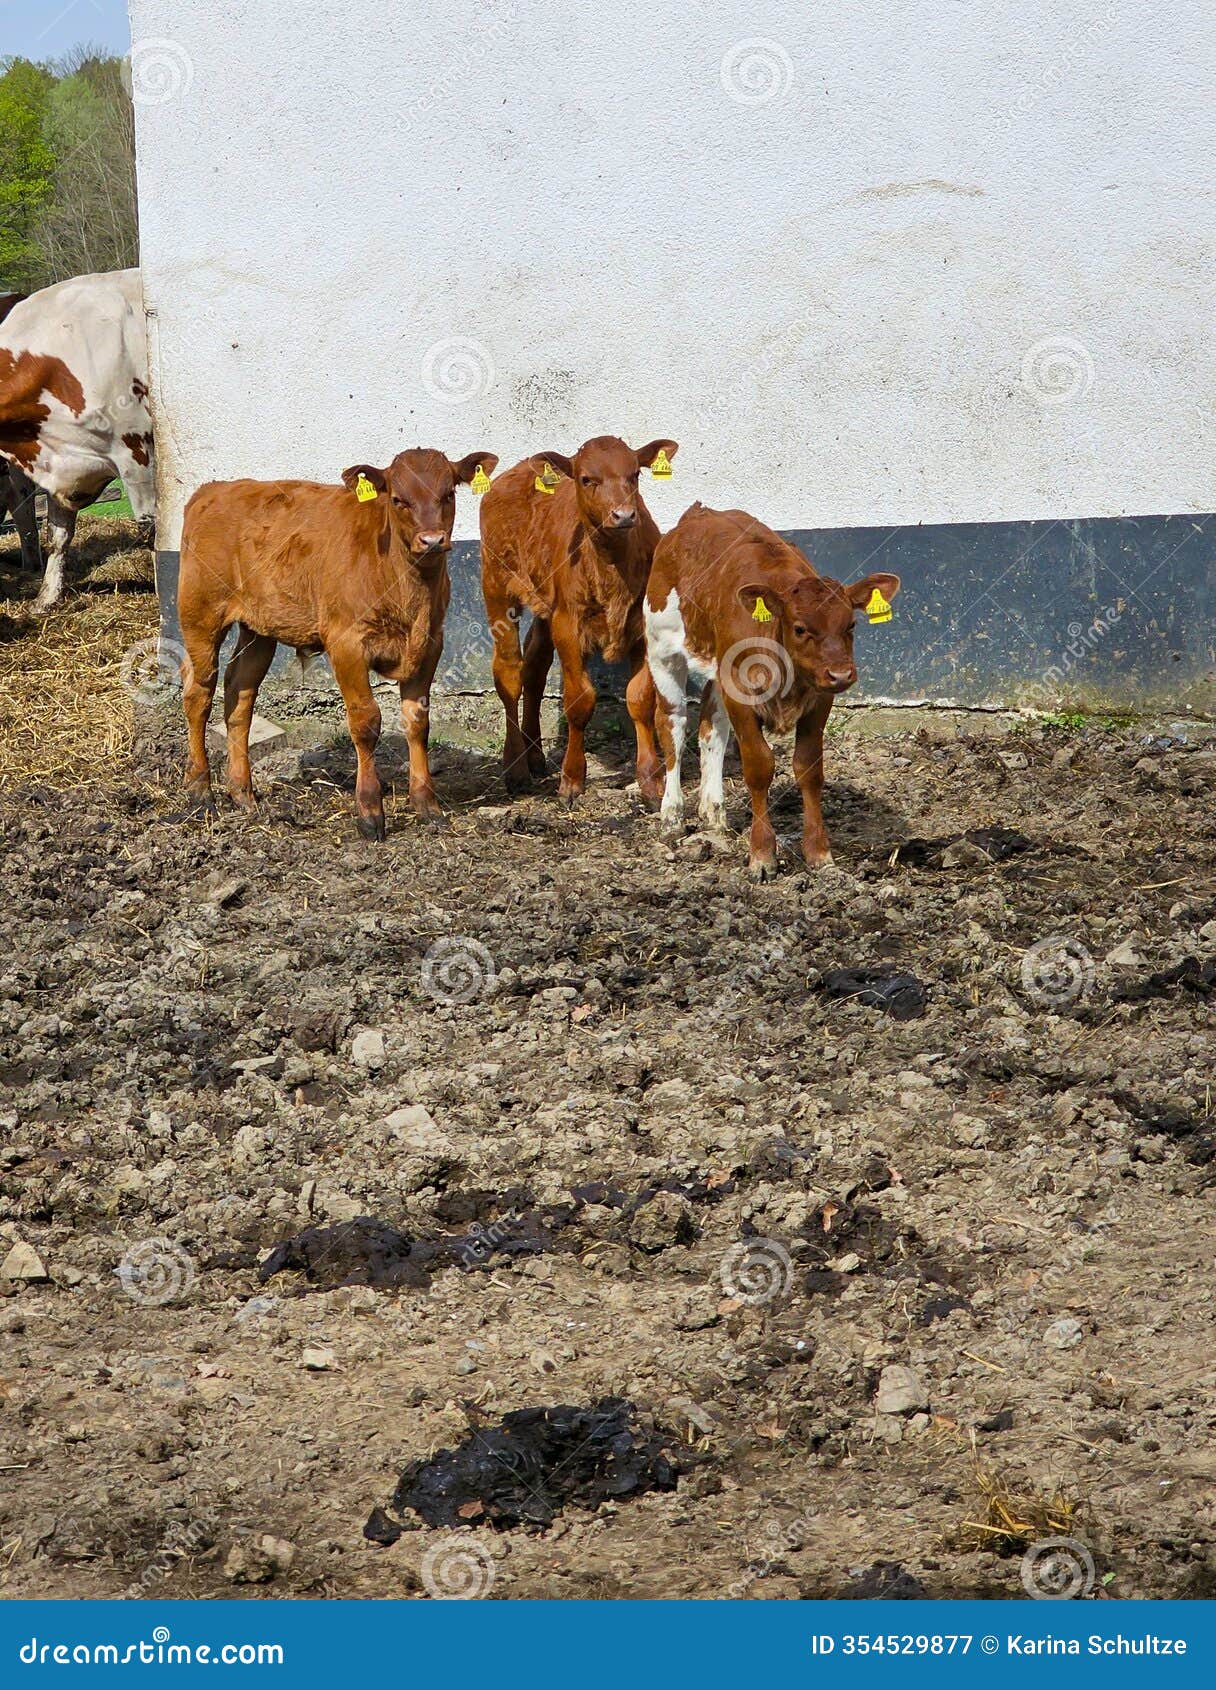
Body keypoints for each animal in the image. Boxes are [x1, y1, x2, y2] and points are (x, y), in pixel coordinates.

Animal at [178, 448, 497, 839]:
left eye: (448, 494)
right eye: (397, 499)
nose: (432, 540)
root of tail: (214, 489)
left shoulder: (431, 644)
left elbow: (418, 721)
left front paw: (427, 805)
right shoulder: (347, 643)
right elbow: (365, 721)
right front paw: (370, 812)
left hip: (259, 629)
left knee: (239, 695)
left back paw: (243, 794)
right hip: (200, 616)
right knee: (198, 694)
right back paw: (200, 791)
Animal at [478, 434, 678, 803]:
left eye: (635, 475)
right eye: (587, 479)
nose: (623, 515)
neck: (611, 566)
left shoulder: (644, 628)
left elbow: (640, 699)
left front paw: (651, 779)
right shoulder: (568, 626)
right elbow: (579, 701)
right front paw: (572, 778)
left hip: (546, 608)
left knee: (534, 667)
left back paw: (534, 754)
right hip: (497, 587)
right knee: (509, 674)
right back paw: (516, 767)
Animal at [645, 502, 900, 878]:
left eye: (851, 624)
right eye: (800, 628)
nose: (841, 674)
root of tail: (698, 514)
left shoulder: (819, 698)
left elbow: (808, 768)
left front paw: (819, 852)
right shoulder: (739, 695)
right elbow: (759, 767)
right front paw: (762, 854)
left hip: (717, 670)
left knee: (711, 729)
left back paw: (713, 811)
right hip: (662, 651)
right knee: (672, 725)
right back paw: (672, 815)